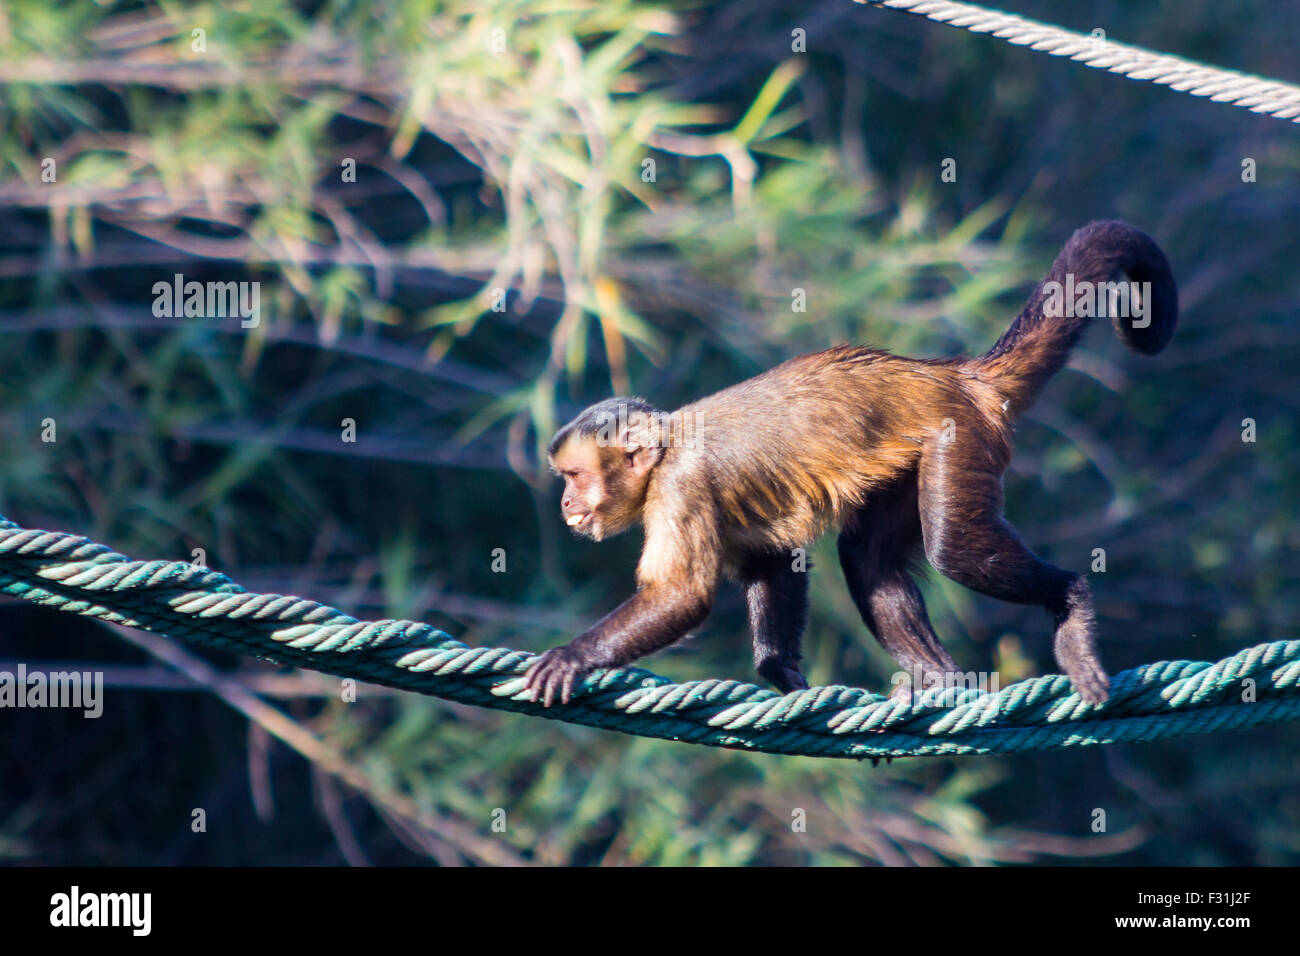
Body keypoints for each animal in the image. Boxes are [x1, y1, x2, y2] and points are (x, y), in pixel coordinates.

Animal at [524, 220, 1177, 708]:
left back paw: (1070, 603)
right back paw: (943, 682)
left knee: (954, 550)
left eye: (574, 476)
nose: (564, 502)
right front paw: (783, 674)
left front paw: (572, 656)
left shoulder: (679, 489)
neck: (664, 455)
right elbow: (773, 562)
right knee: (868, 557)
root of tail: (954, 374)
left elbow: (682, 596)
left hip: (956, 436)